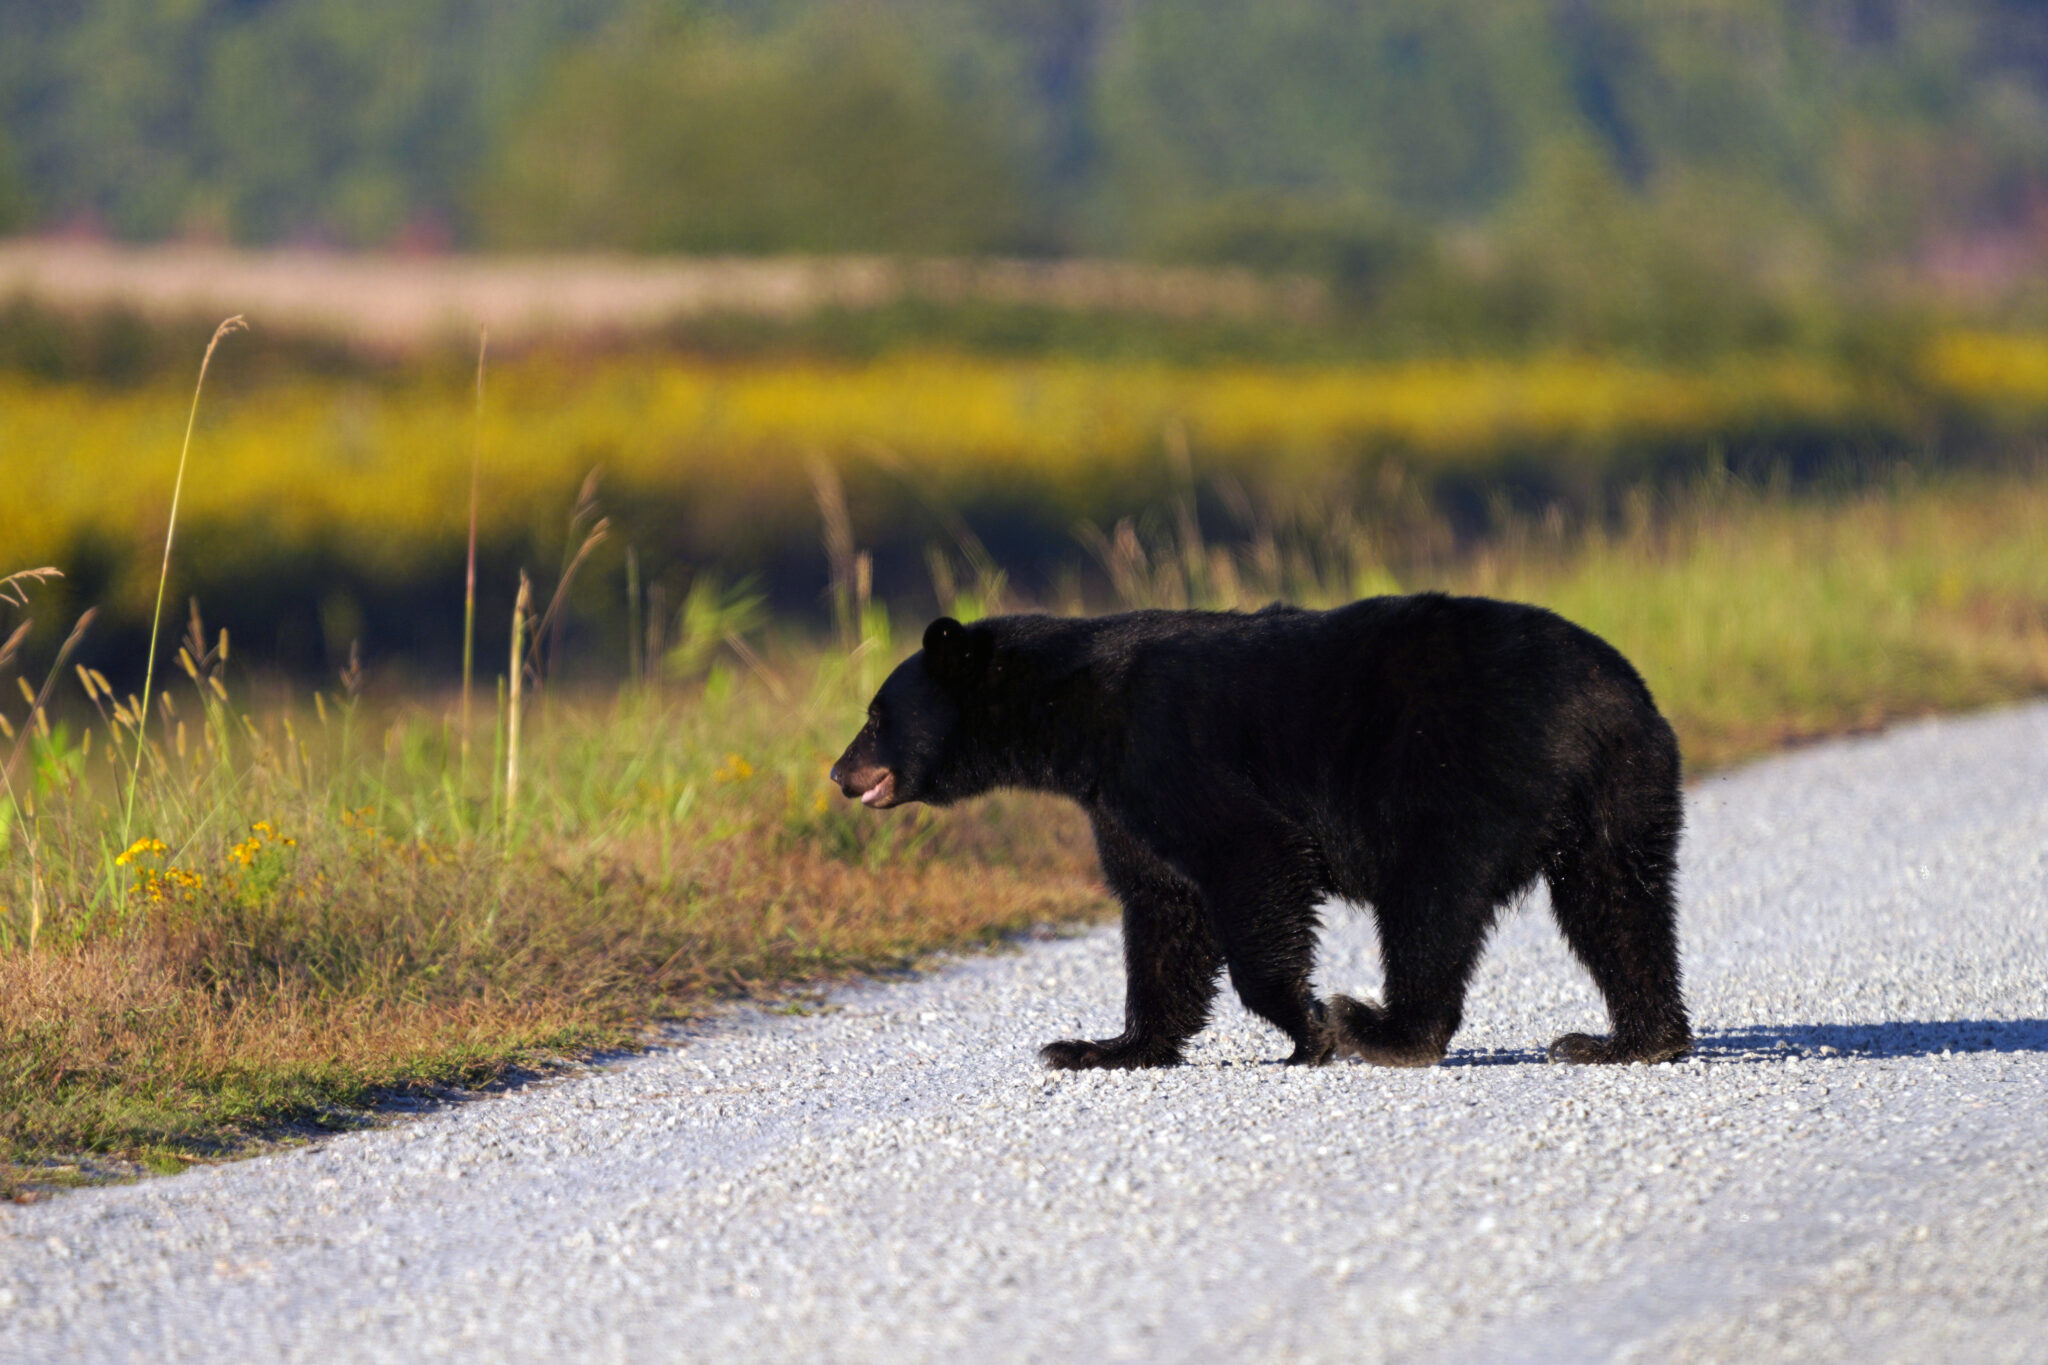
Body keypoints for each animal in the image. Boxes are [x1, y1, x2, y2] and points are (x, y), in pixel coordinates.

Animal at [830, 593, 1691, 1069]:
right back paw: (1630, 1039)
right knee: (1620, 908)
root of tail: (1606, 699)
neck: (1077, 715)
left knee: (1431, 900)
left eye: (875, 713)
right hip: (1623, 795)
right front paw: (1102, 1048)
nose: (838, 771)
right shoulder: (1119, 800)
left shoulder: (1172, 755)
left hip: (1463, 773)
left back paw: (1382, 1027)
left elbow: (1251, 863)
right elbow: (1162, 912)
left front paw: (1307, 1026)